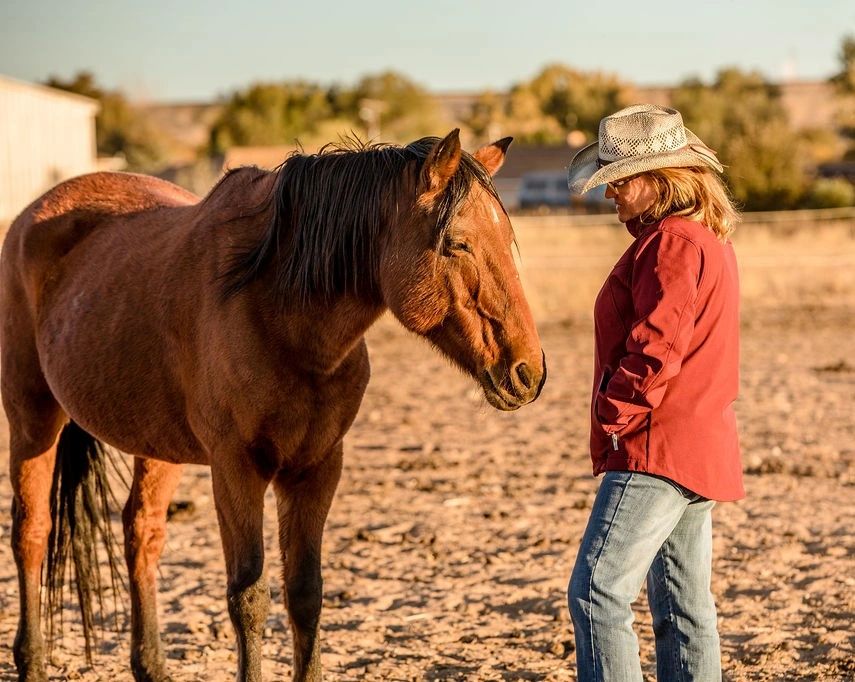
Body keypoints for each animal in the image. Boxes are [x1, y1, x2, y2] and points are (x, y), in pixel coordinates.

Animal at [0, 129, 546, 681]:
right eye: (457, 243)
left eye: (508, 239)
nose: (529, 371)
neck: (278, 314)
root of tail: (34, 215)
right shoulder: (237, 470)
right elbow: (249, 597)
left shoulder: (317, 469)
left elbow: (306, 594)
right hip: (33, 420)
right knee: (32, 532)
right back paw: (32, 661)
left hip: (156, 446)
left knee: (142, 534)